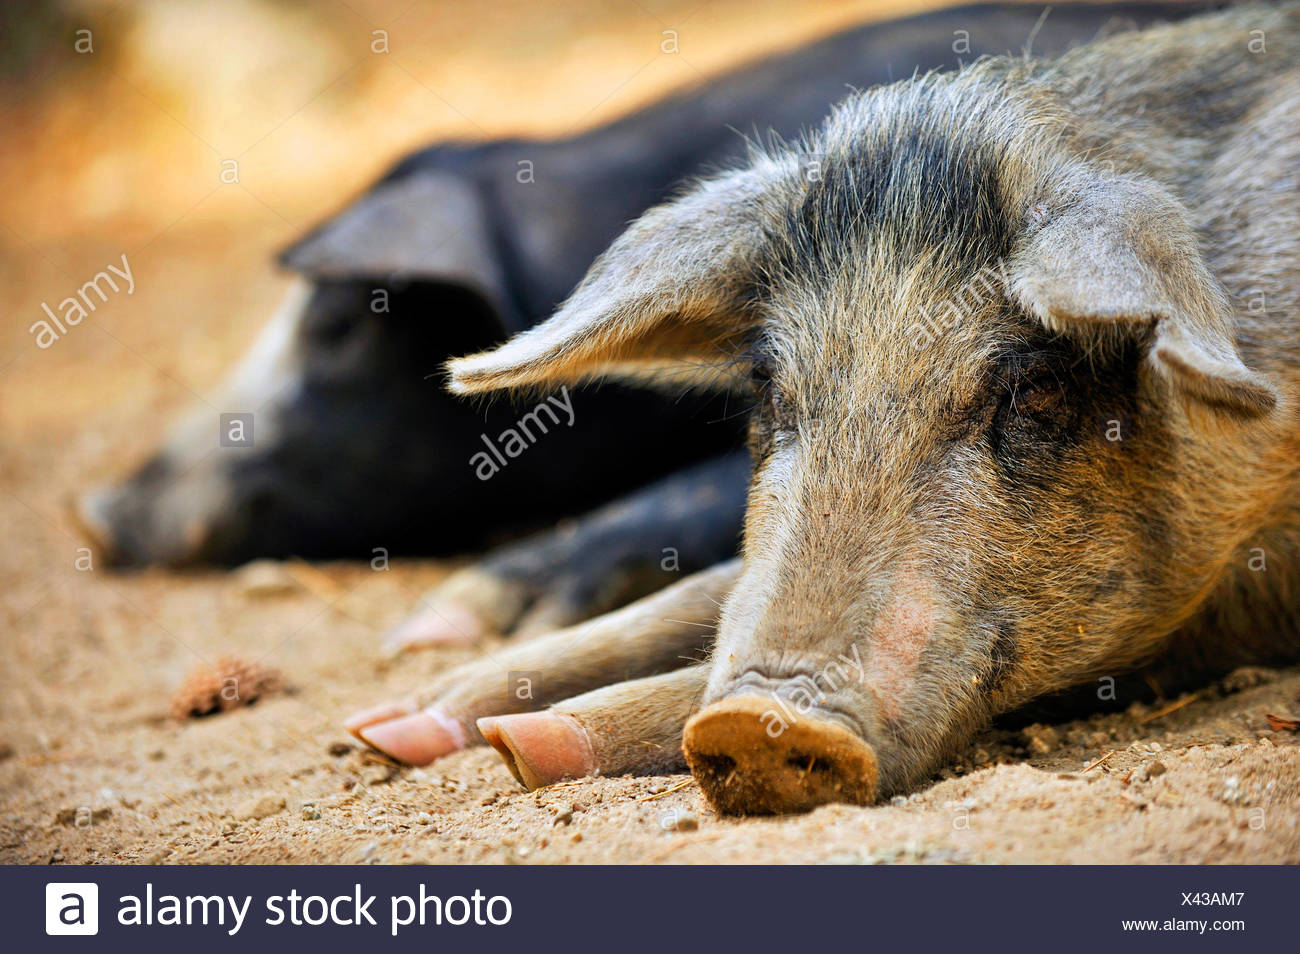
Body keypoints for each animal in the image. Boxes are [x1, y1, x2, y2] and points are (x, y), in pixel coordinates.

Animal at [353, 3, 1300, 814]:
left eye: (1034, 389)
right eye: (769, 387)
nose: (758, 722)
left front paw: (516, 740)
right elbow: (711, 588)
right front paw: (401, 724)